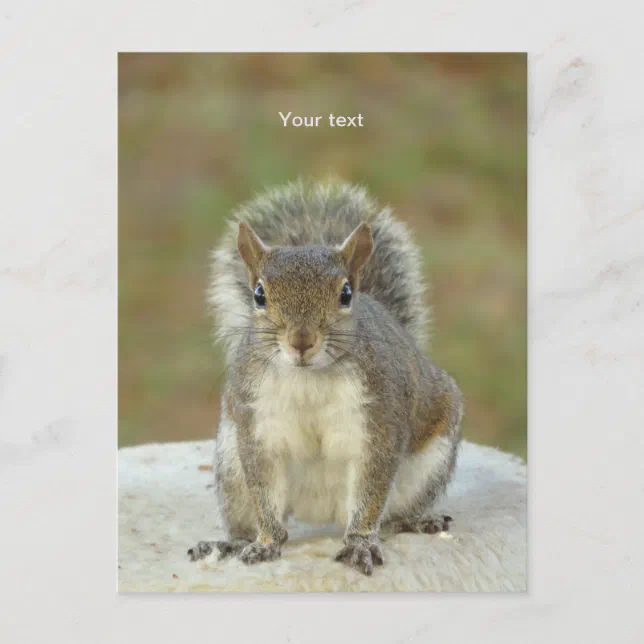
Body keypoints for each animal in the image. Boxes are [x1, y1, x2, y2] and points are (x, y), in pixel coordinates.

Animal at [187, 180, 463, 576]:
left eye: (346, 293)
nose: (301, 341)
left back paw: (414, 521)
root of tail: (320, 514)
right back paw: (231, 543)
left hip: (427, 464)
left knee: (389, 517)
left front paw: (360, 544)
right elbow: (264, 490)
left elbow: (371, 490)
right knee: (251, 516)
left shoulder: (379, 421)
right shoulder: (256, 425)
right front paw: (266, 543)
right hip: (231, 469)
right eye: (259, 294)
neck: (308, 378)